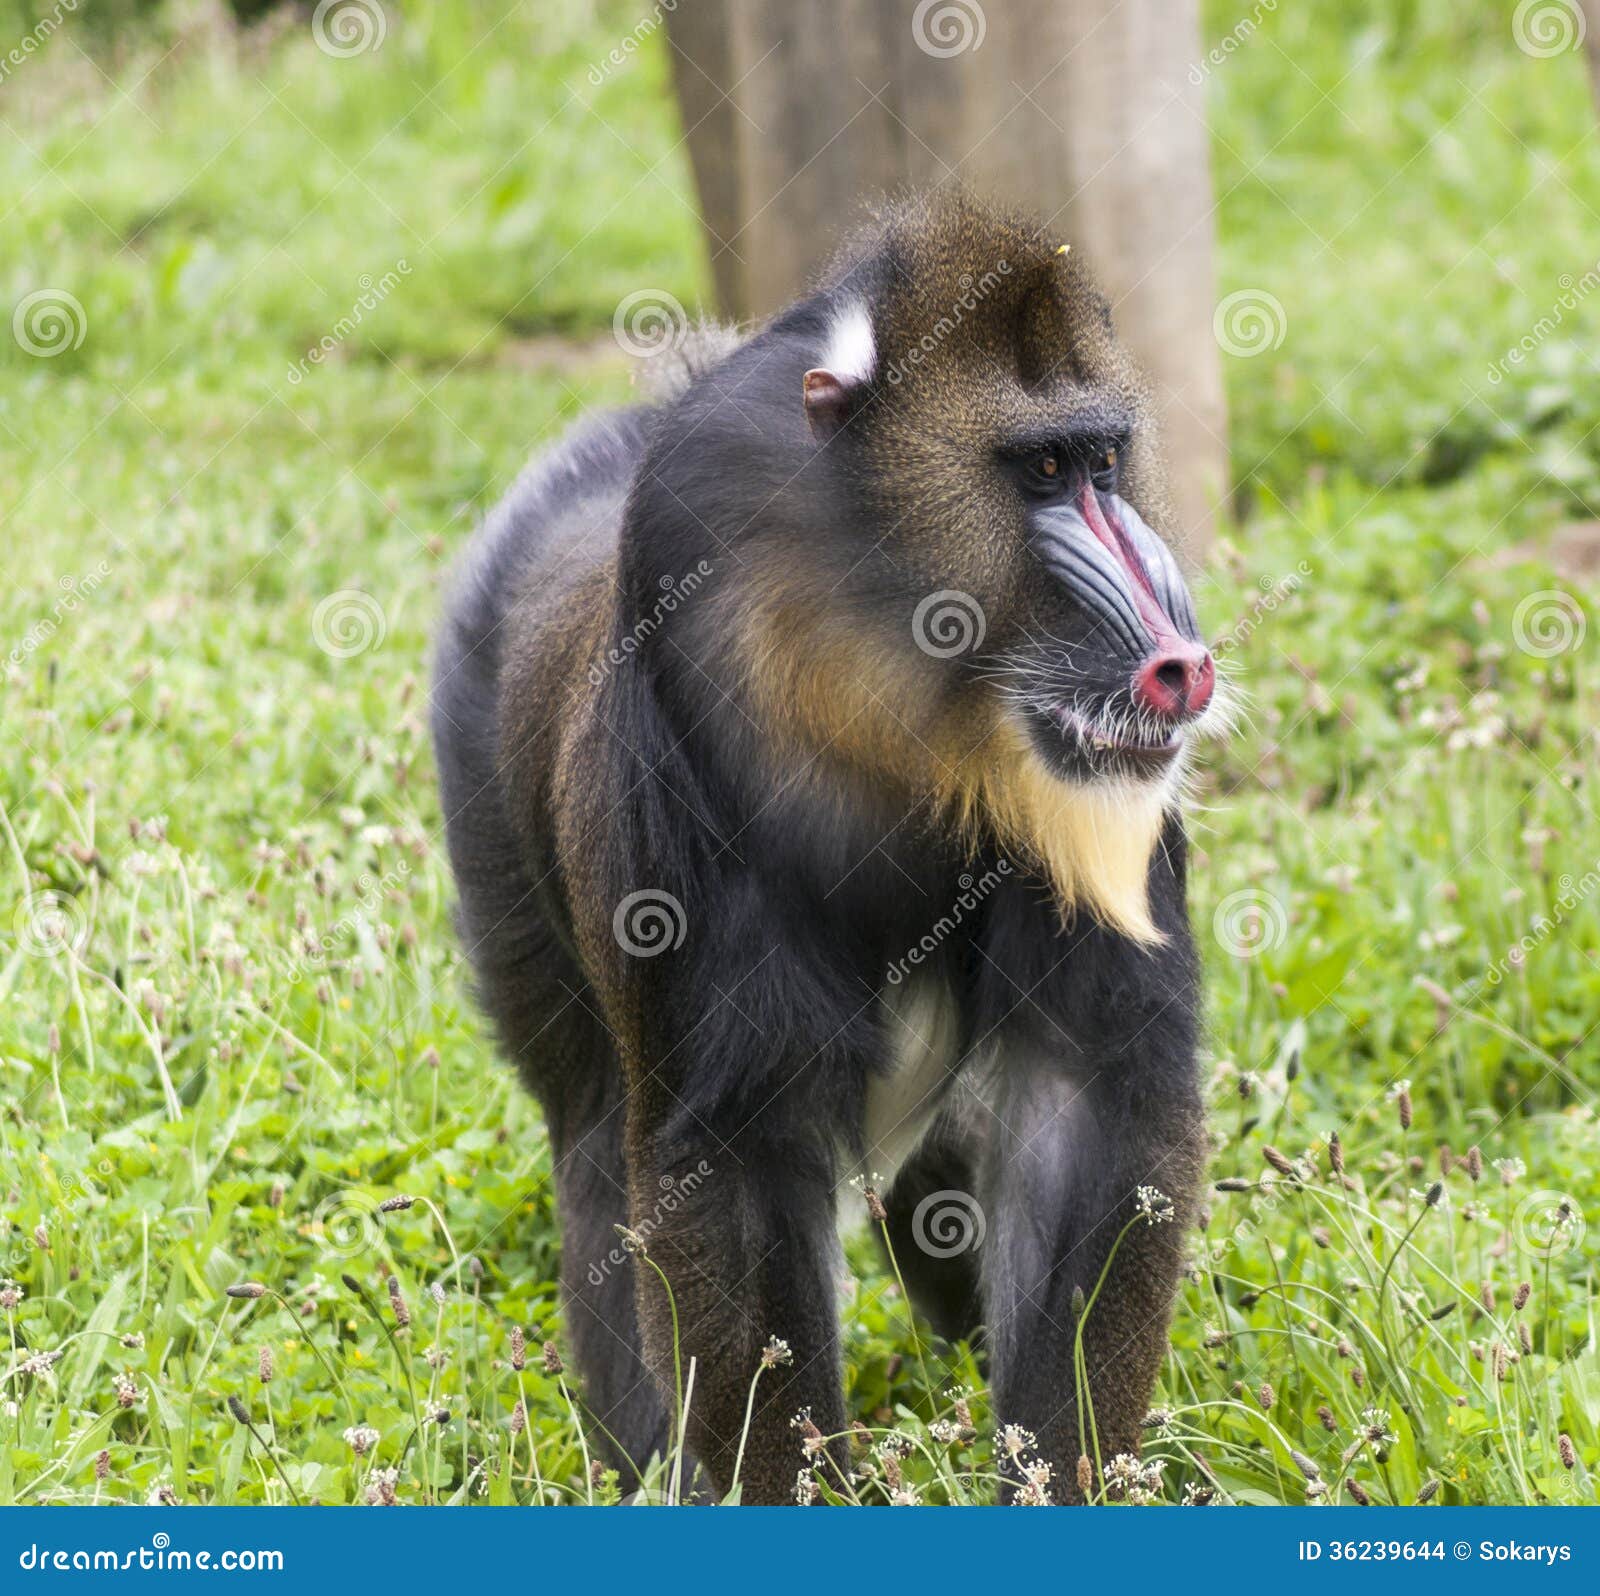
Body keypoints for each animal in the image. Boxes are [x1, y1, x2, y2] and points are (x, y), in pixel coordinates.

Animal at [430, 191, 1227, 1505]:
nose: (1179, 656)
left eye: (1105, 461)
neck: (887, 688)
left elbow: (1087, 1102)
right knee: (597, 1148)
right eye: (1040, 469)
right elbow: (728, 1174)